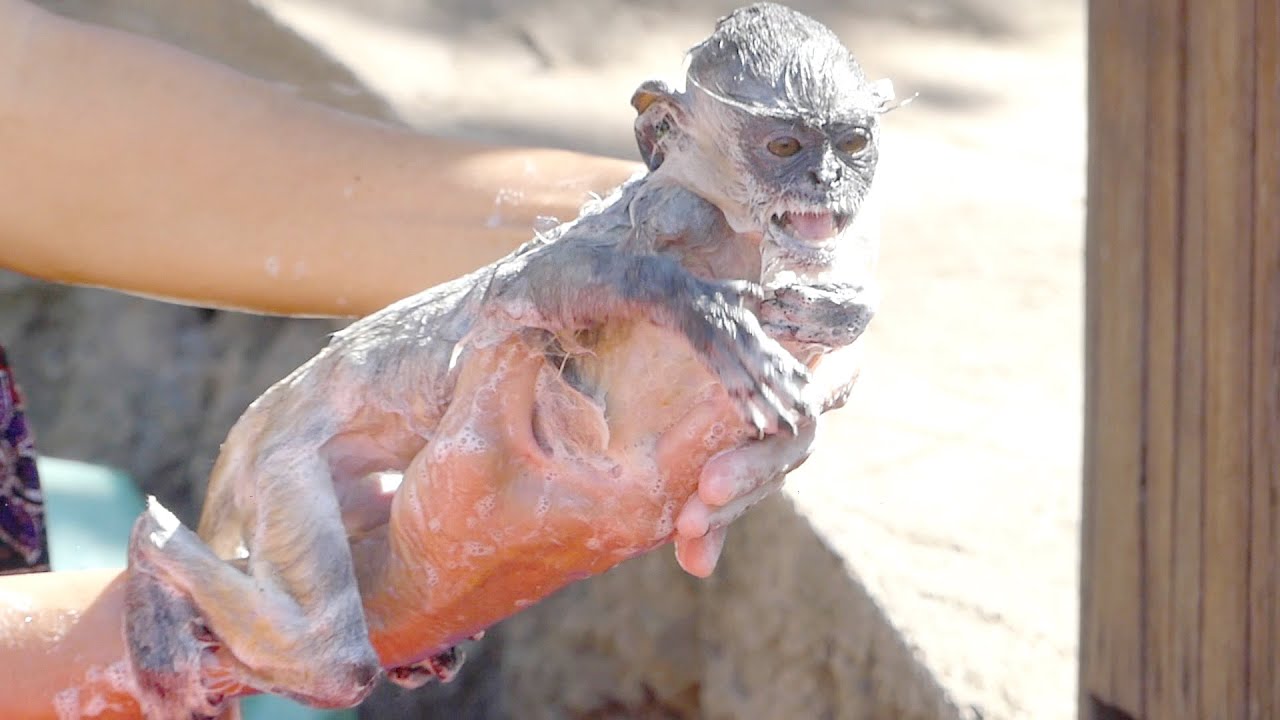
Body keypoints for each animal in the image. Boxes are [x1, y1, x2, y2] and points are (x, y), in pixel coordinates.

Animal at [120, 4, 894, 717]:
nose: (827, 179)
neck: (732, 238)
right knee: (331, 658)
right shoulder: (671, 214)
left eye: (853, 142)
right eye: (785, 143)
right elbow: (524, 290)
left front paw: (832, 309)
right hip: (278, 461)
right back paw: (152, 550)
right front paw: (714, 319)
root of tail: (254, 419)